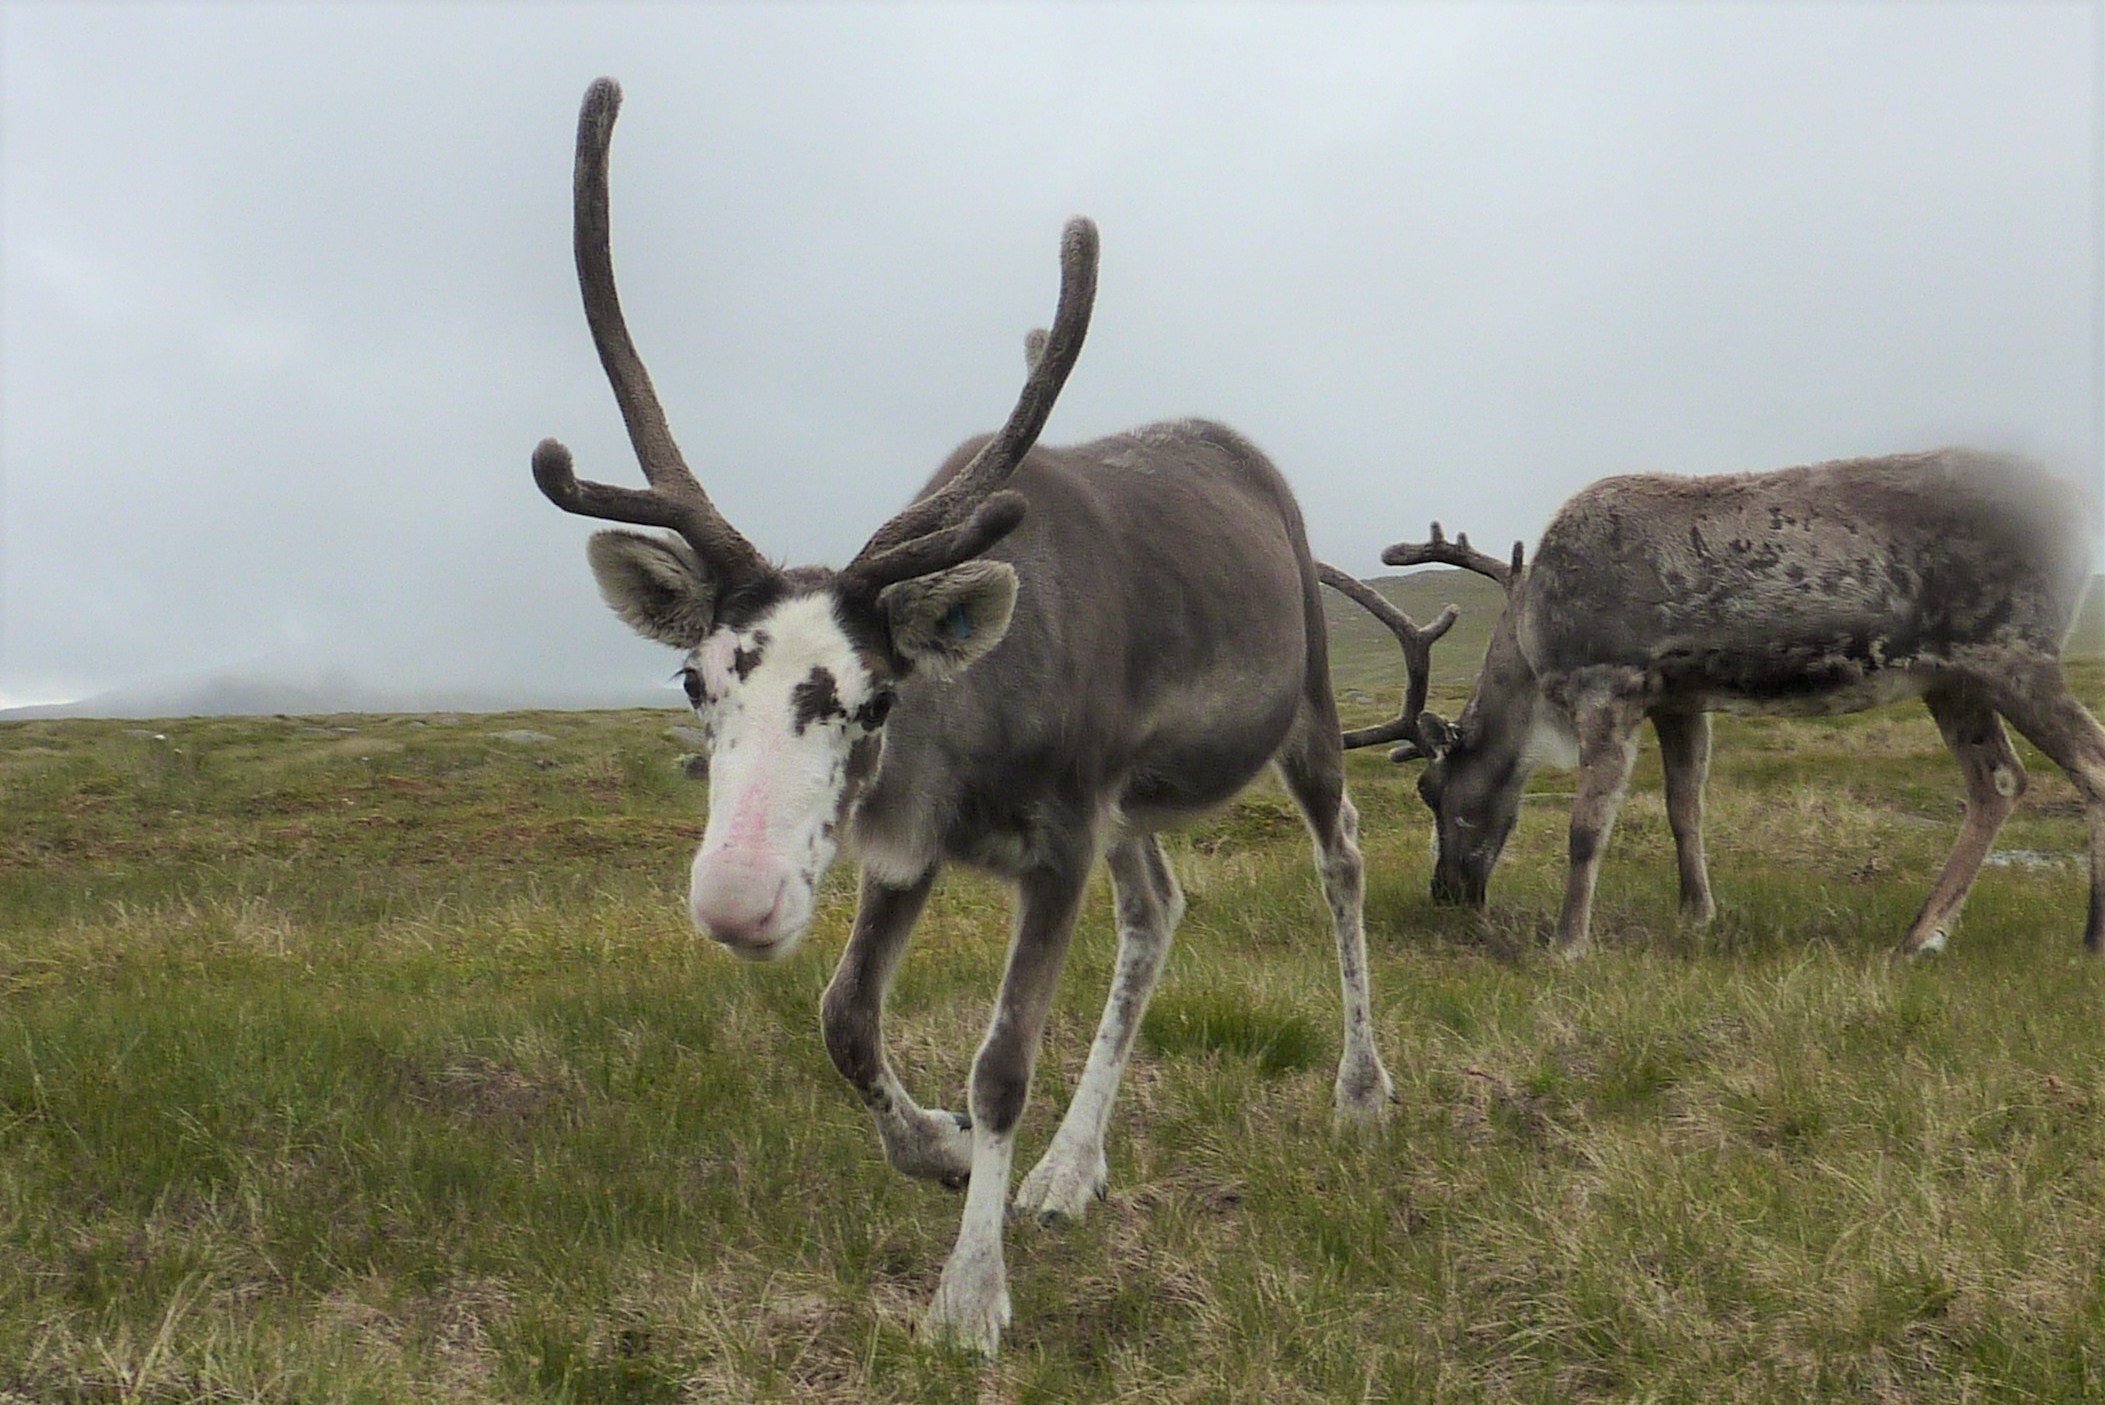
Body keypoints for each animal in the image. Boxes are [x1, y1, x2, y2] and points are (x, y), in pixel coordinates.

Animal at [529, 79, 1392, 1356]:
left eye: (875, 697)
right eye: (695, 681)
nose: (736, 900)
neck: (969, 735)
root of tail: (1245, 456)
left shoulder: (1058, 840)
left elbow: (1000, 1064)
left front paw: (968, 1292)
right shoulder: (911, 847)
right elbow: (842, 1017)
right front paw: (934, 1149)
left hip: (1305, 711)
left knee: (1338, 856)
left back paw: (1359, 1087)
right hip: (1132, 803)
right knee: (1157, 907)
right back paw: (1070, 1171)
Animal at [1325, 449, 2104, 960]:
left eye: (1430, 789)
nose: (1445, 893)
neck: (1529, 637)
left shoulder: (1608, 684)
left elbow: (1587, 826)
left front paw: (1566, 944)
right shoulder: (1678, 697)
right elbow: (1684, 806)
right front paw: (1695, 915)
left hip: (2014, 653)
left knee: (2089, 766)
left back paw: (2088, 937)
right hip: (1952, 678)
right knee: (1998, 780)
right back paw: (1921, 934)